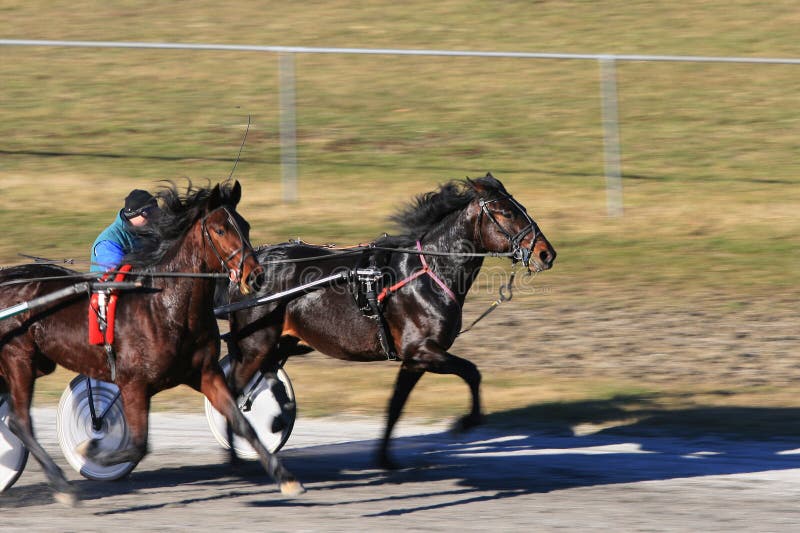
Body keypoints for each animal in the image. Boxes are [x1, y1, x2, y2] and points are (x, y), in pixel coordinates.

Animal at [0, 181, 304, 503]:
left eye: (245, 226)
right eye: (221, 230)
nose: (256, 276)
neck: (165, 306)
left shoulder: (204, 373)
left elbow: (241, 420)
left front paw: (285, 477)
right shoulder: (133, 383)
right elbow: (137, 444)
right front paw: (91, 448)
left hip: (34, 363)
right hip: (19, 358)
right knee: (19, 421)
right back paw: (61, 484)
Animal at [220, 173, 556, 469]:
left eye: (522, 208)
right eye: (507, 212)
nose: (546, 253)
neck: (427, 274)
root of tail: (247, 268)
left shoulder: (414, 360)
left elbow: (395, 406)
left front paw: (384, 459)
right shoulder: (422, 350)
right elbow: (472, 372)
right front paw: (465, 422)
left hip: (283, 341)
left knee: (267, 375)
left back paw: (278, 418)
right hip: (256, 342)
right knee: (232, 390)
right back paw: (235, 457)